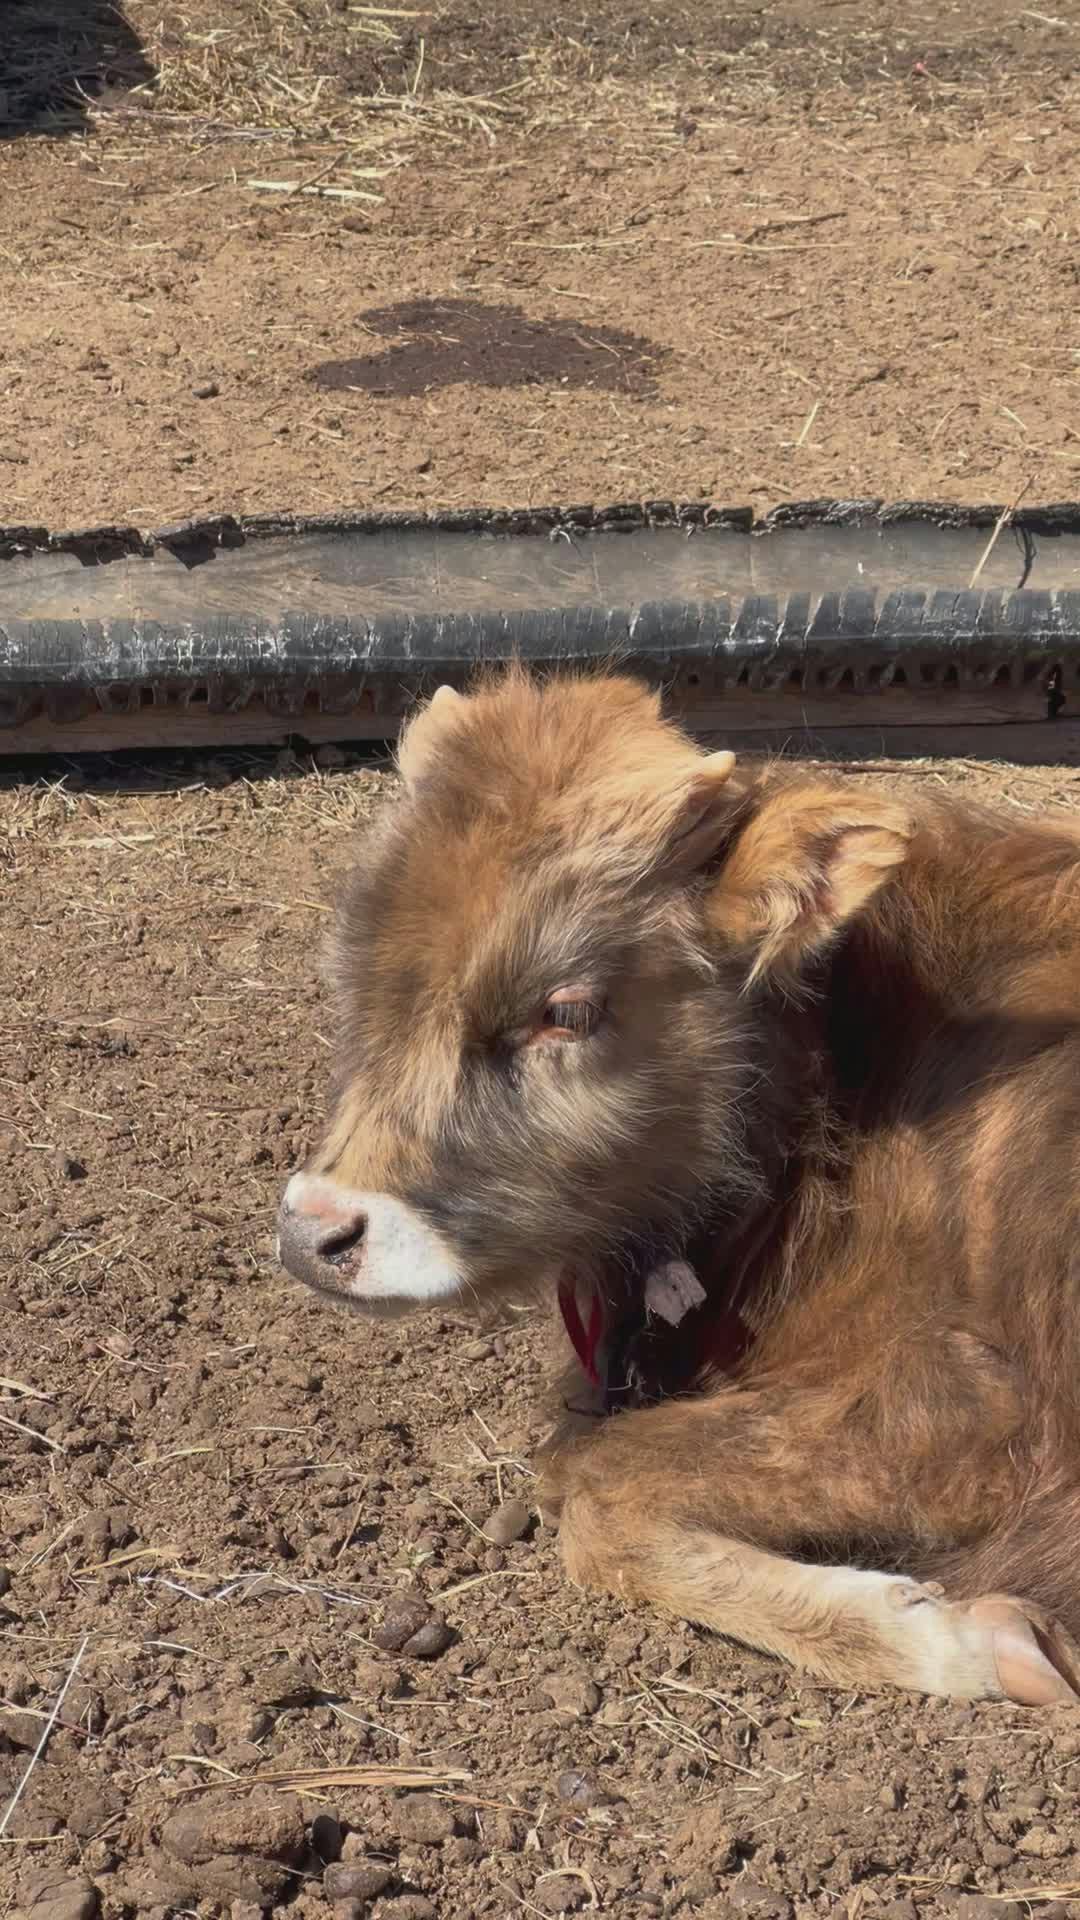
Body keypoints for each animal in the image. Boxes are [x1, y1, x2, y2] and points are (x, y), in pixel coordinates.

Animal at [277, 668, 1080, 1707]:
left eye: (566, 1011)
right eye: (357, 976)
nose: (315, 1235)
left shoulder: (970, 1408)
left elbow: (596, 1485)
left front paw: (971, 1641)